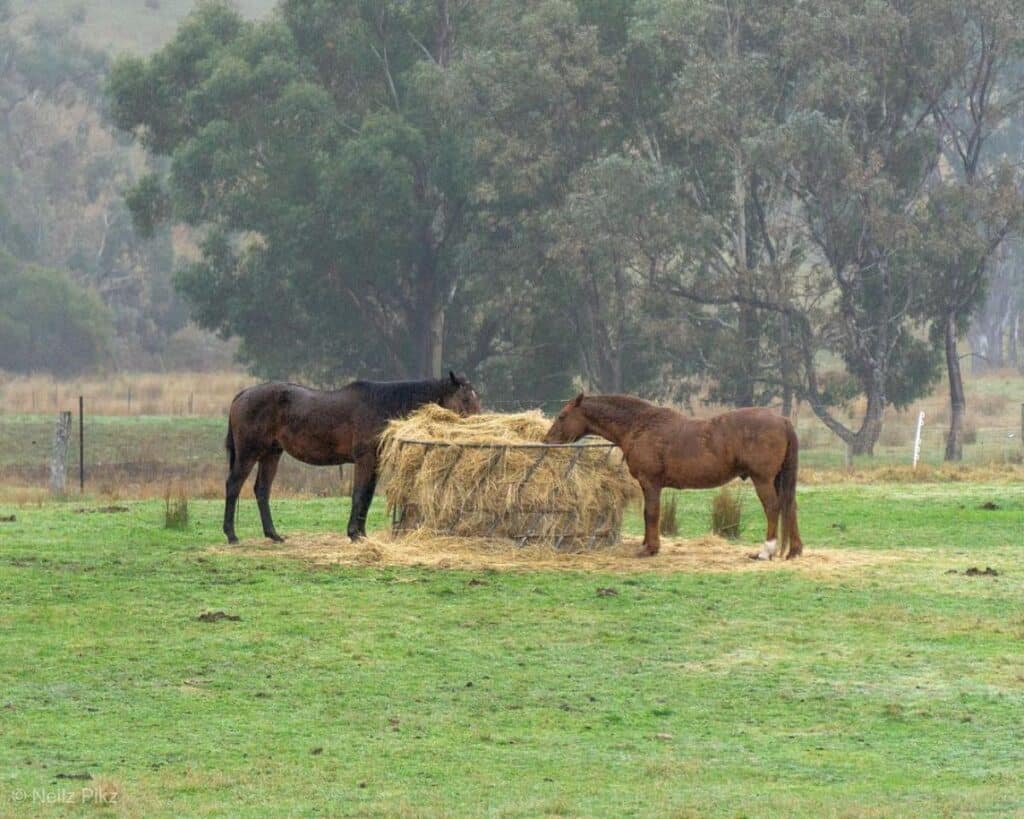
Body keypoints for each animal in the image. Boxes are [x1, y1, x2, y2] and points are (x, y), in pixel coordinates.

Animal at [223, 371, 481, 544]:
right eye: (466, 399)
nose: (480, 421)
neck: (381, 402)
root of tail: (243, 394)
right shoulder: (364, 459)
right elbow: (358, 494)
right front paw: (354, 534)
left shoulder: (375, 462)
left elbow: (367, 496)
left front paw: (362, 533)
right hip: (249, 453)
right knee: (234, 486)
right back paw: (231, 534)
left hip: (271, 454)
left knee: (262, 490)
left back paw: (273, 535)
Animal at [543, 393, 803, 559]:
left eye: (562, 416)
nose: (547, 441)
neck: (640, 426)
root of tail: (782, 420)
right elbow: (649, 514)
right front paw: (648, 545)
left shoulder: (650, 483)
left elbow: (651, 513)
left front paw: (650, 549)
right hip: (778, 480)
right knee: (789, 506)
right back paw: (794, 550)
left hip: (763, 479)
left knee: (773, 508)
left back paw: (765, 551)